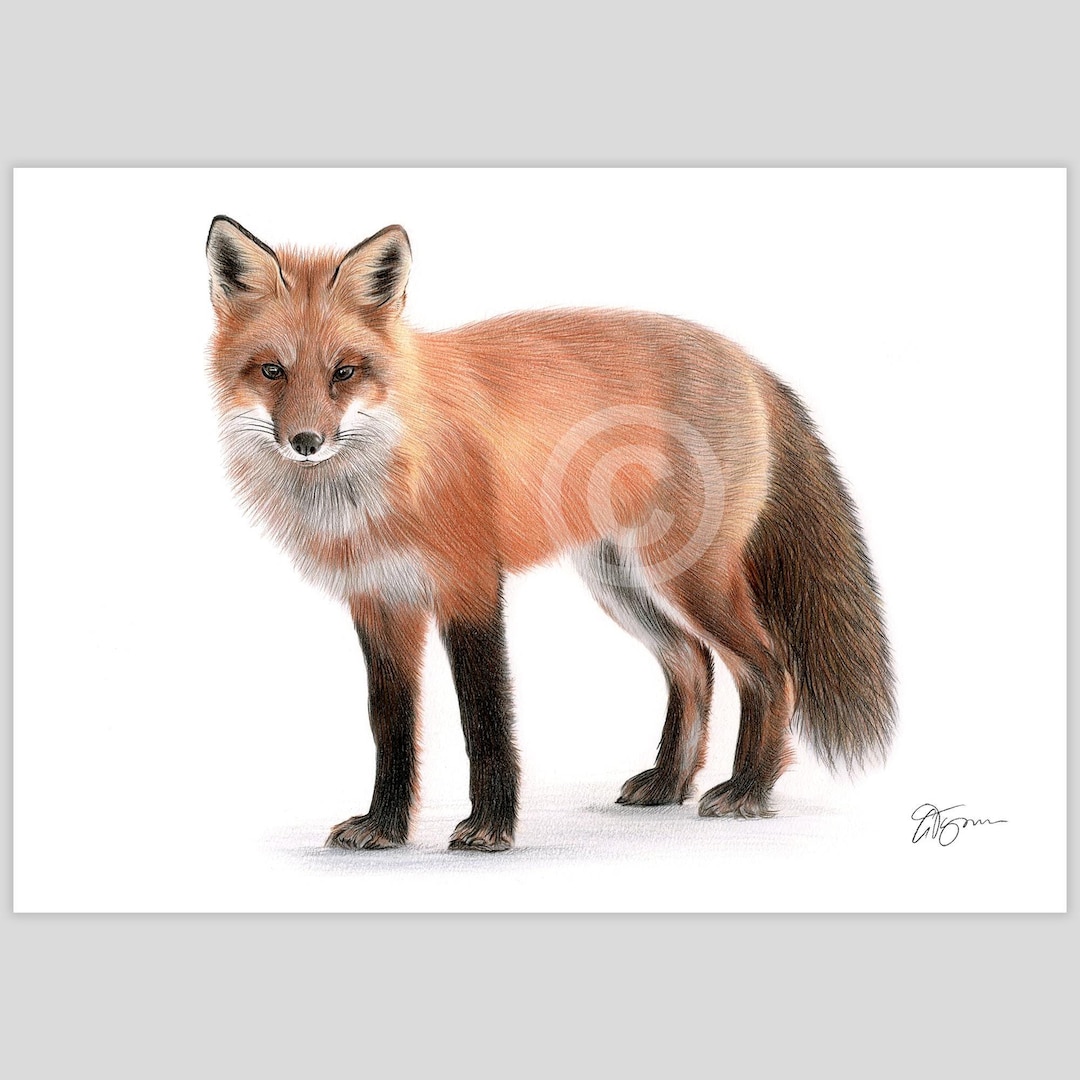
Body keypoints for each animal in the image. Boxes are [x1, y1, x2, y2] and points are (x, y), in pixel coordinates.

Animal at [206, 215, 895, 853]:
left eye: (345, 372)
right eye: (272, 371)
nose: (305, 442)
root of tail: (747, 359)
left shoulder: (470, 585)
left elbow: (485, 717)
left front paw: (490, 828)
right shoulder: (379, 600)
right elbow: (390, 725)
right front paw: (385, 827)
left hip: (686, 576)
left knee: (769, 668)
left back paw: (749, 790)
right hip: (622, 582)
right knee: (693, 664)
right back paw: (670, 783)